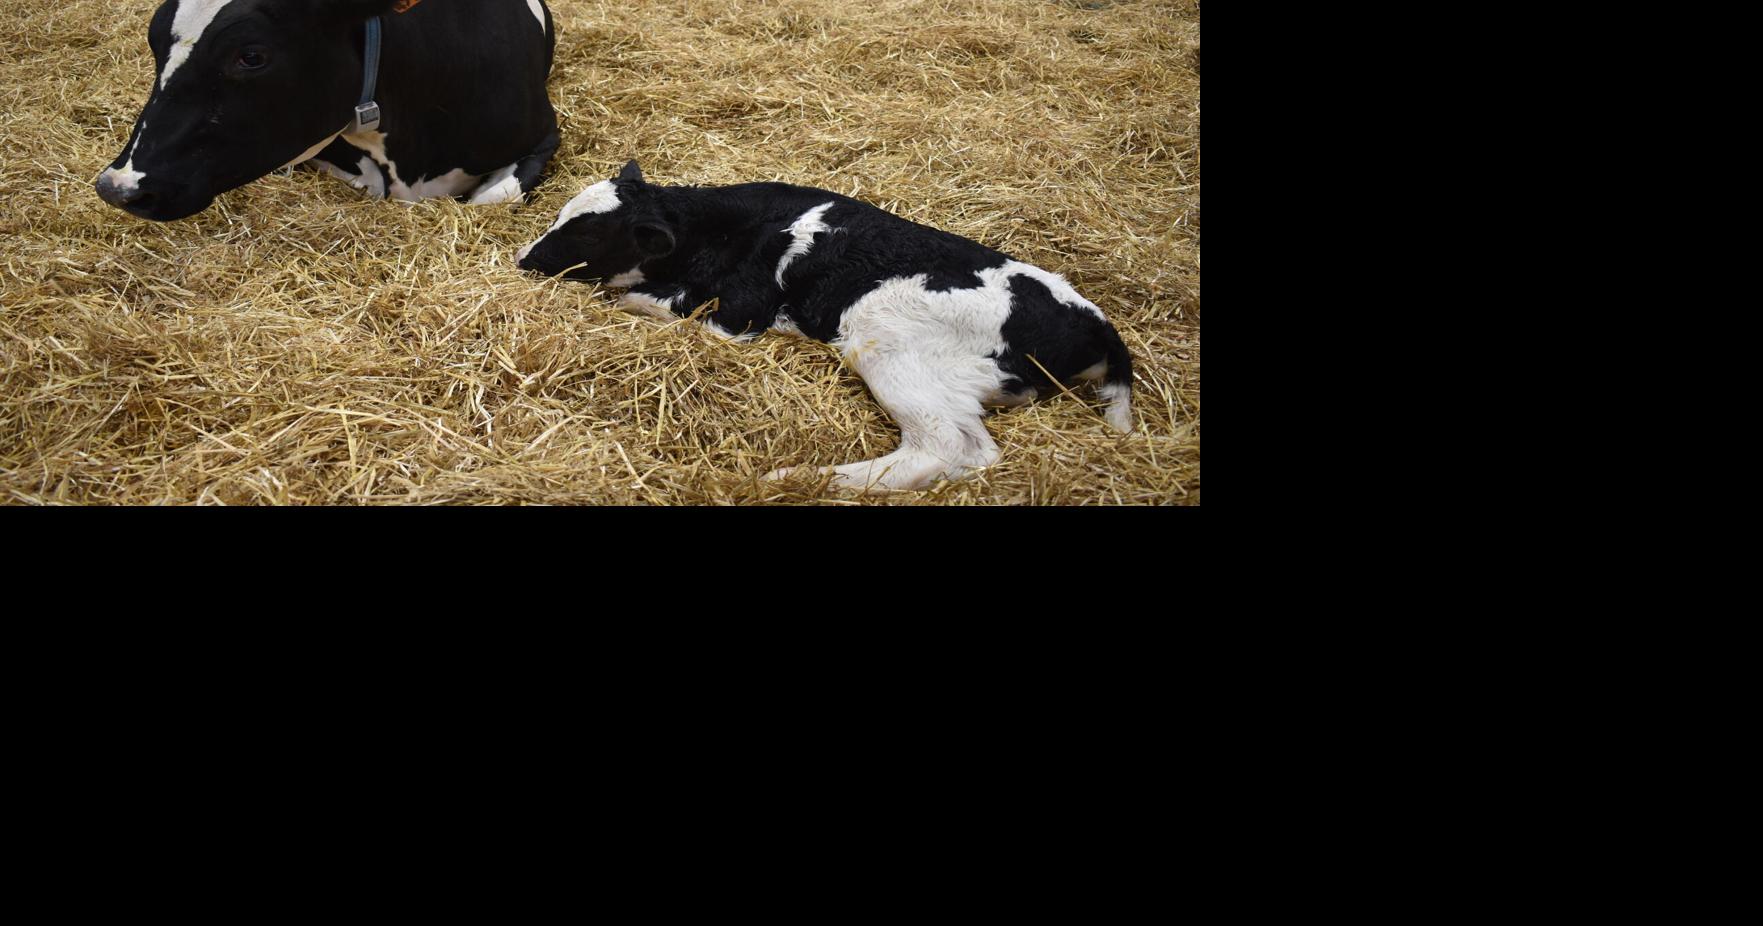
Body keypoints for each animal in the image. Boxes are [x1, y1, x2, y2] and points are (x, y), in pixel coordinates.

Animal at [517, 162, 1136, 492]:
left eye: (589, 233)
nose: (524, 258)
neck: (716, 231)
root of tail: (1093, 324)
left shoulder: (738, 314)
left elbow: (638, 301)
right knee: (971, 453)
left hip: (883, 336)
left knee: (941, 446)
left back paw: (801, 478)